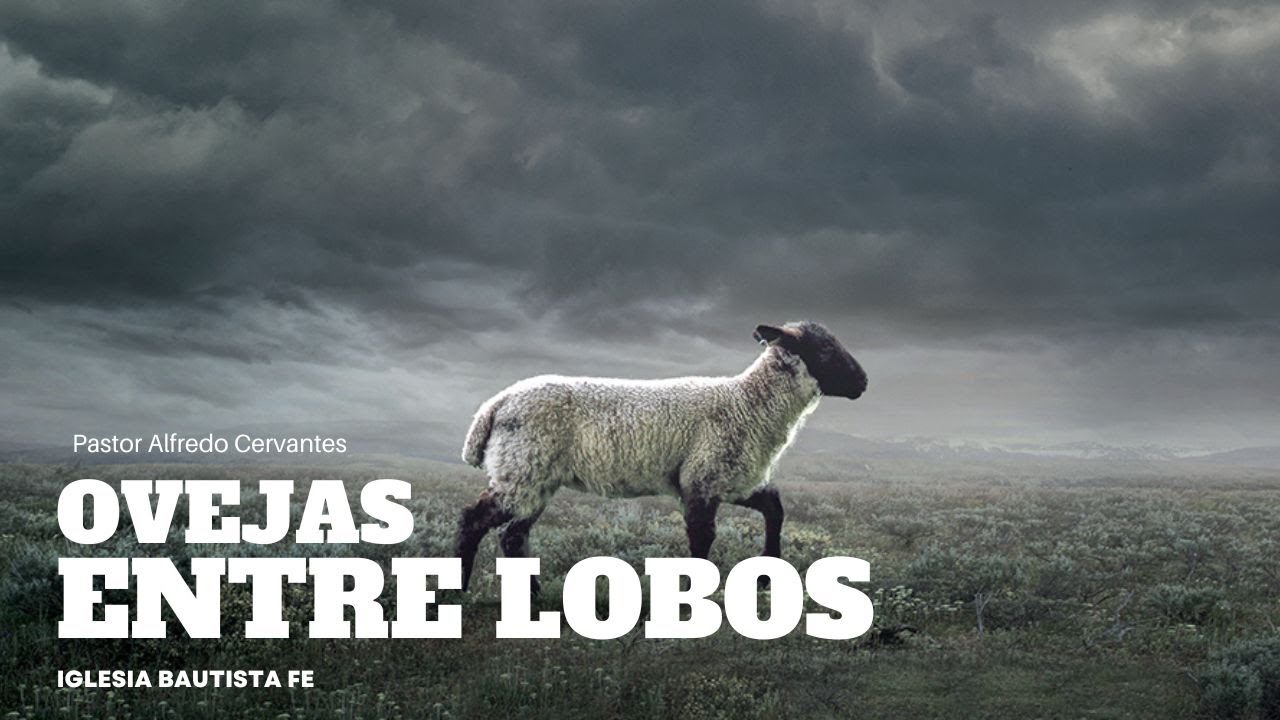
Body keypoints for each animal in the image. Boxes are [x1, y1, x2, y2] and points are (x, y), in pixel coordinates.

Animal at [454, 320, 867, 593]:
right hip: (523, 468)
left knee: (513, 535)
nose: (863, 382)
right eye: (825, 349)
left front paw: (767, 576)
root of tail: (494, 405)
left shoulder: (731, 478)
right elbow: (702, 537)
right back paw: (458, 590)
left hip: (535, 476)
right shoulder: (701, 478)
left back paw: (534, 597)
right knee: (475, 520)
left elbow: (775, 508)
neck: (748, 404)